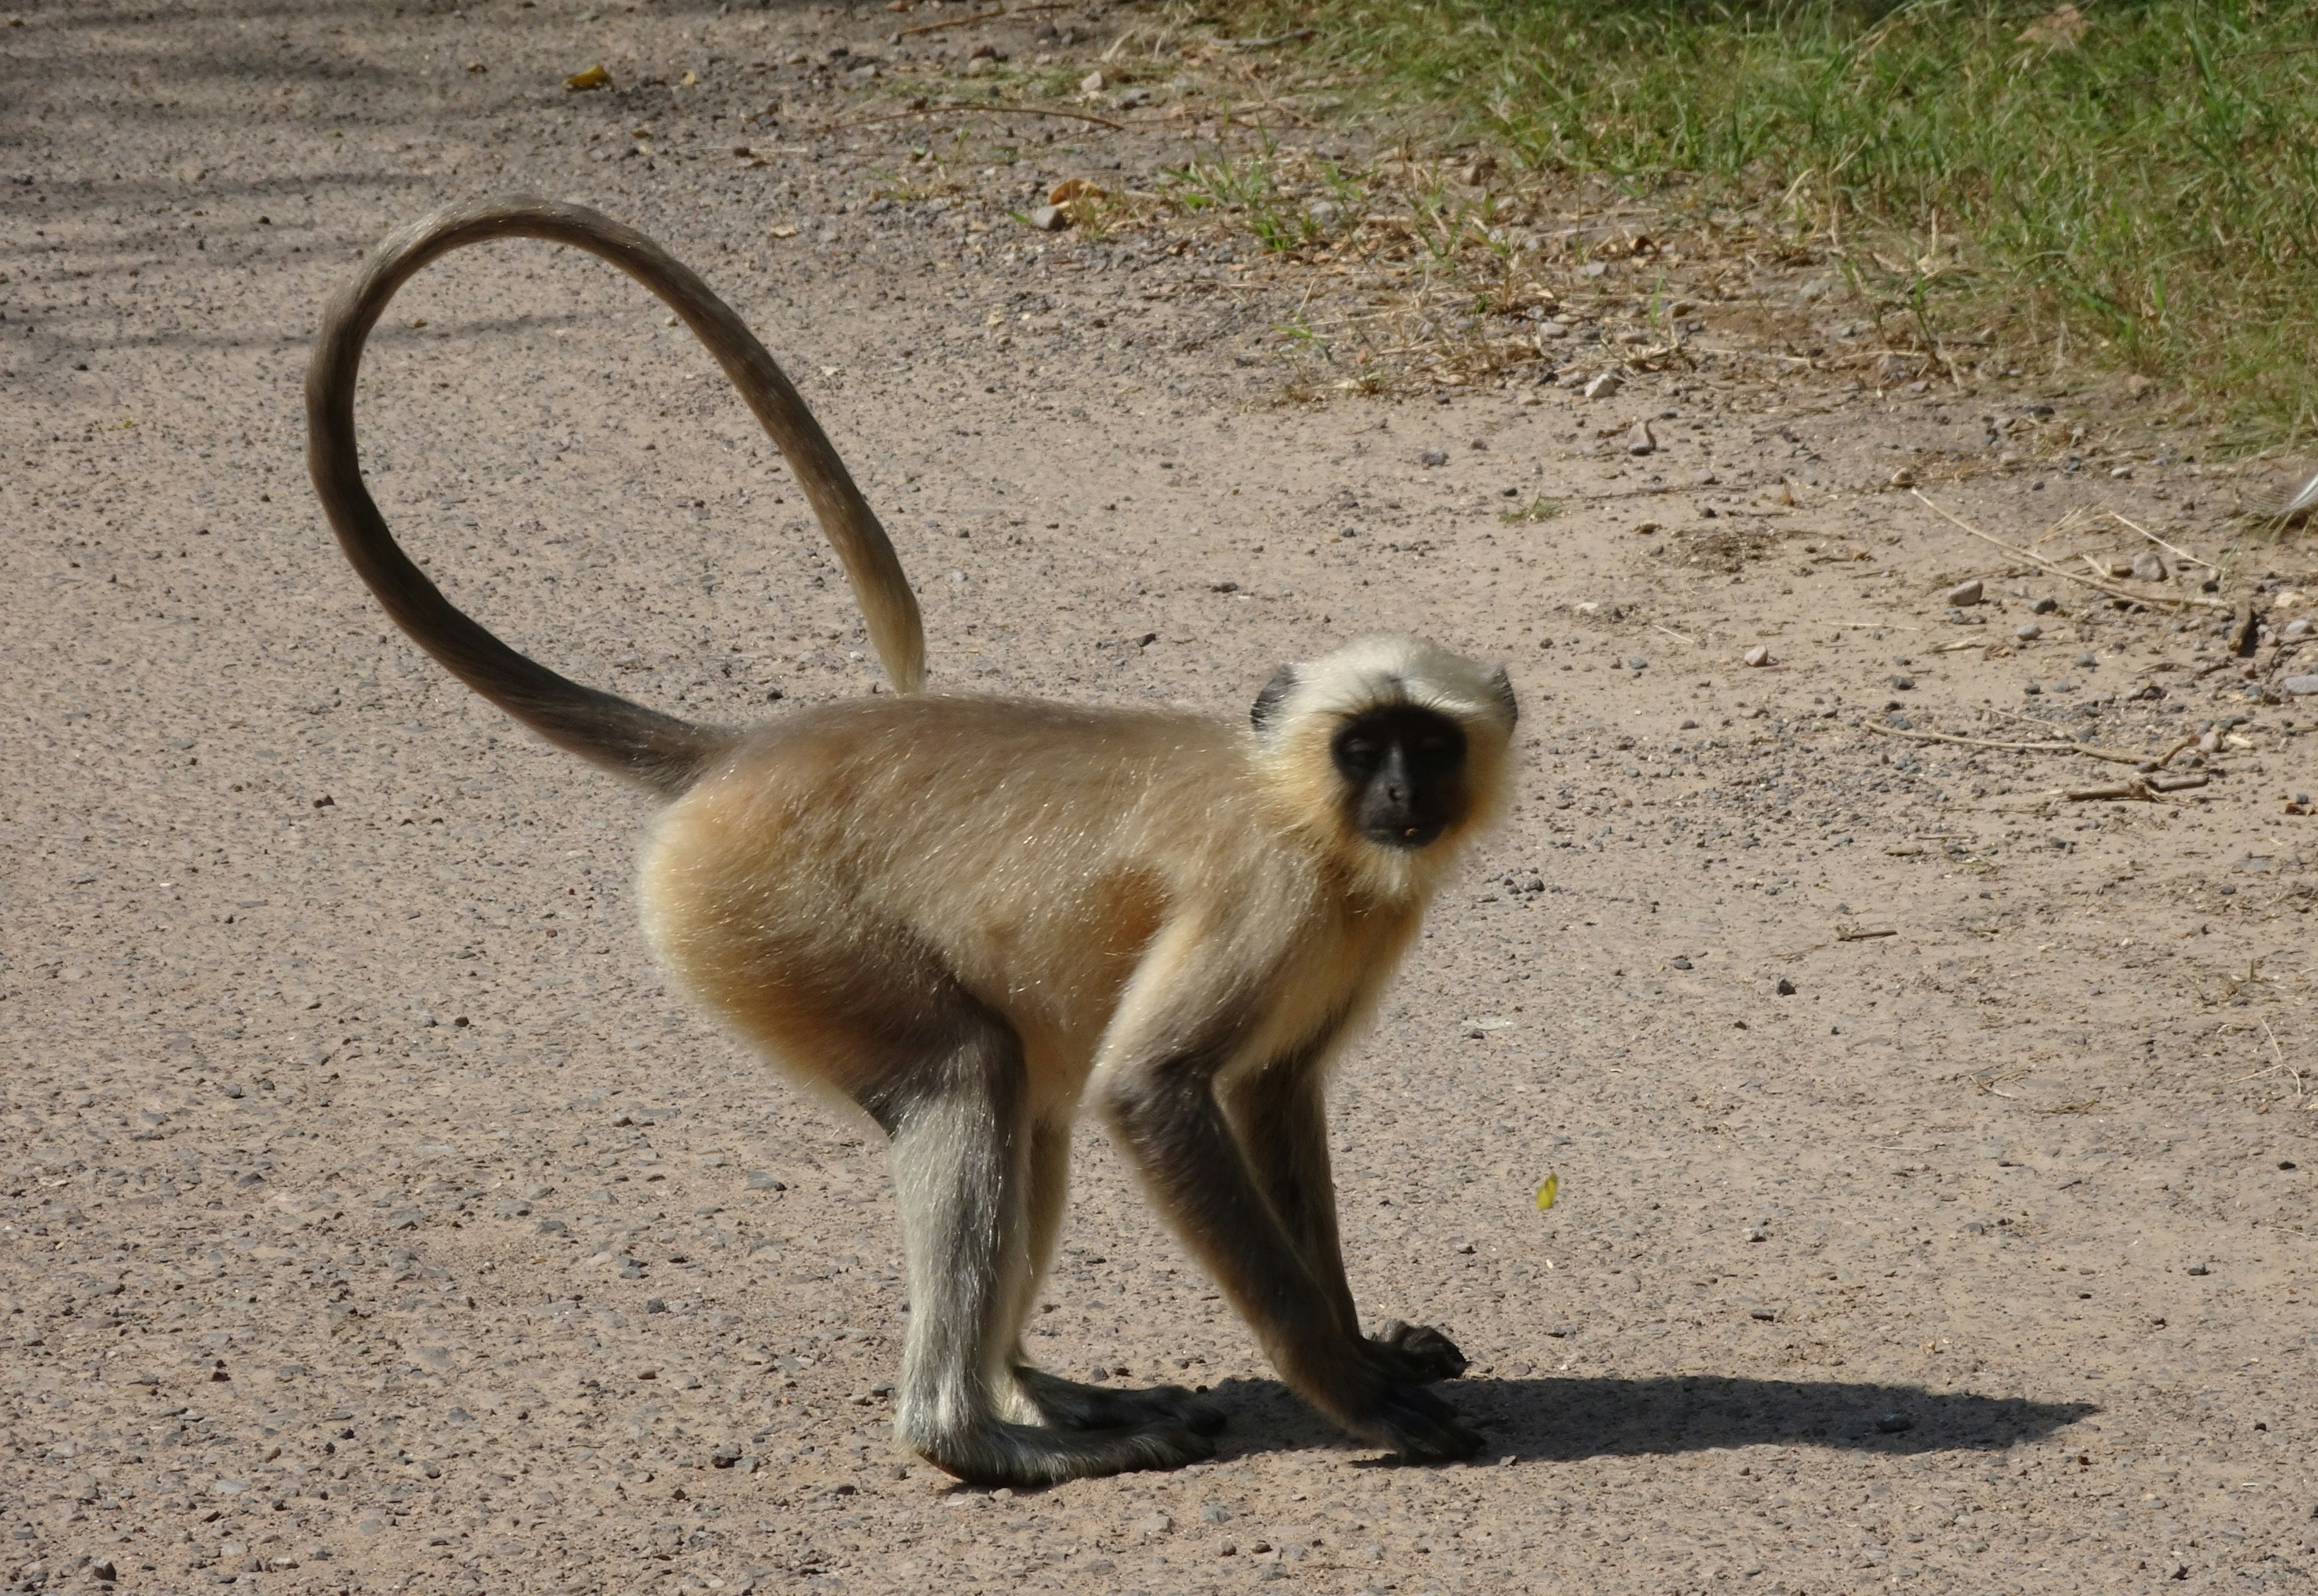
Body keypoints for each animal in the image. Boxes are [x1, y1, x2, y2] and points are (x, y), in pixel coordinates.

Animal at [308, 196, 1519, 1487]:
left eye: (1427, 745)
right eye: (1361, 745)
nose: (1399, 794)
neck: (1300, 810)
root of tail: (744, 753)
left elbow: (1270, 1087)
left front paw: (1365, 1344)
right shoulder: (1272, 888)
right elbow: (1151, 1088)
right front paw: (1351, 1390)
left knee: (1026, 1101)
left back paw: (1037, 1389)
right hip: (764, 917)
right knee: (971, 1075)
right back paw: (973, 1432)